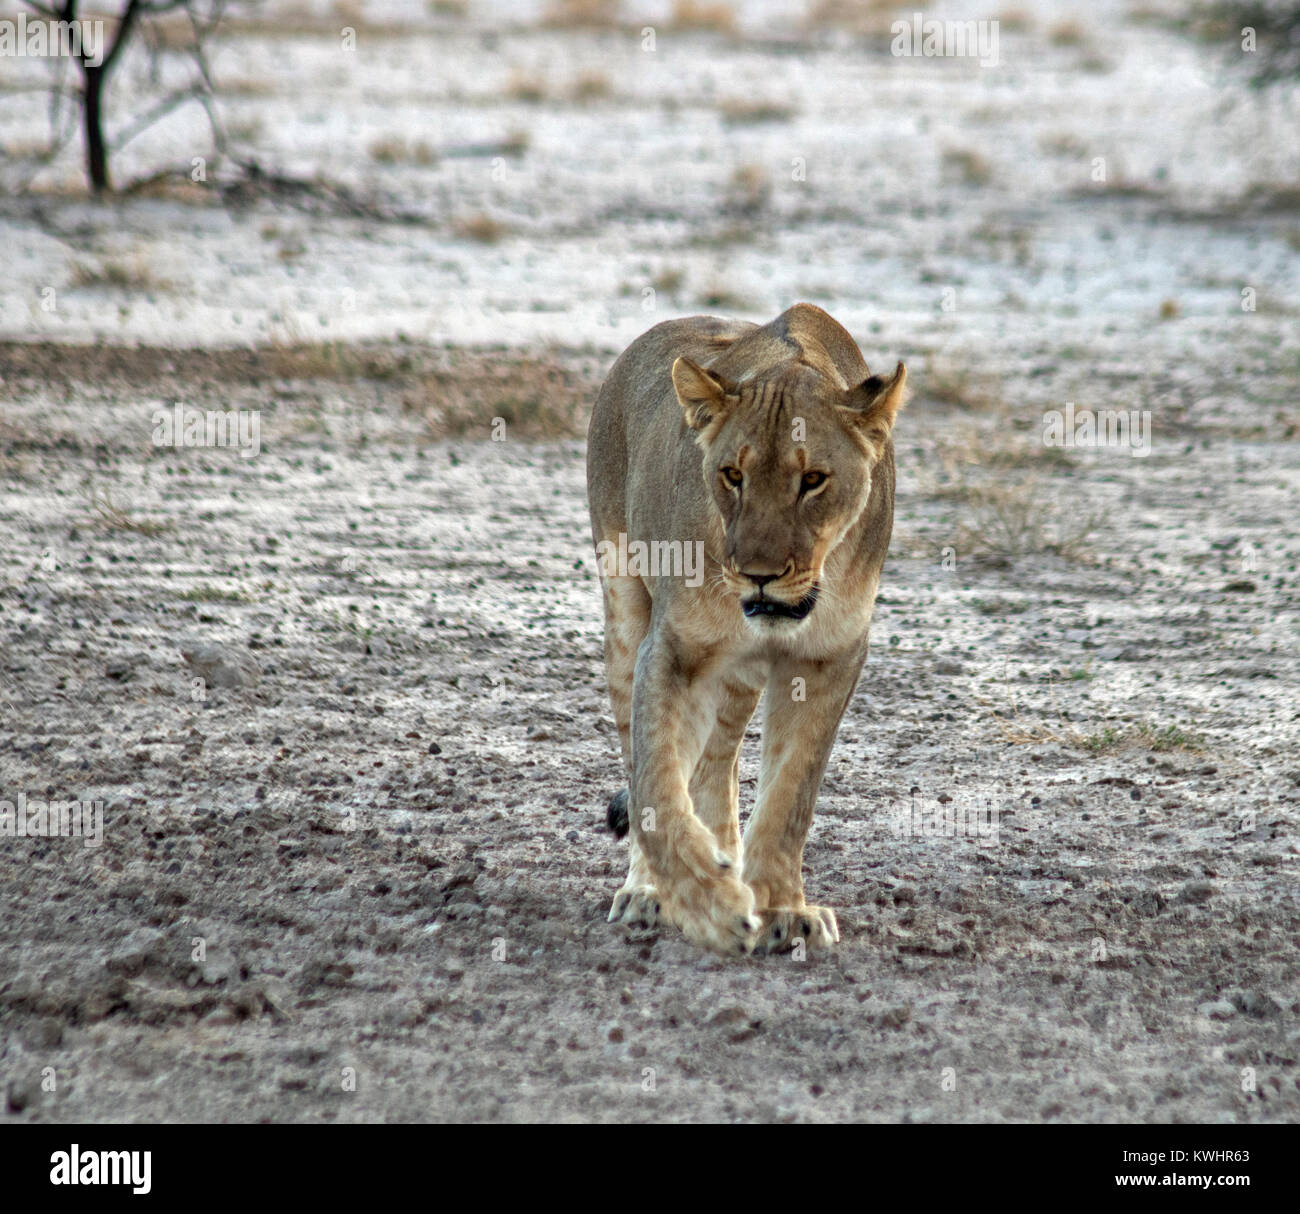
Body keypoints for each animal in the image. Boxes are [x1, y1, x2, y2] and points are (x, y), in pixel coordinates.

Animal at [586, 303, 906, 954]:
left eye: (813, 480)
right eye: (733, 474)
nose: (758, 576)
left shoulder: (829, 658)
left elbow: (791, 793)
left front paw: (782, 908)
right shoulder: (672, 649)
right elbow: (657, 786)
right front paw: (710, 905)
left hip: (737, 675)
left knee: (718, 759)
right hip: (624, 613)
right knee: (646, 760)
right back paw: (648, 891)